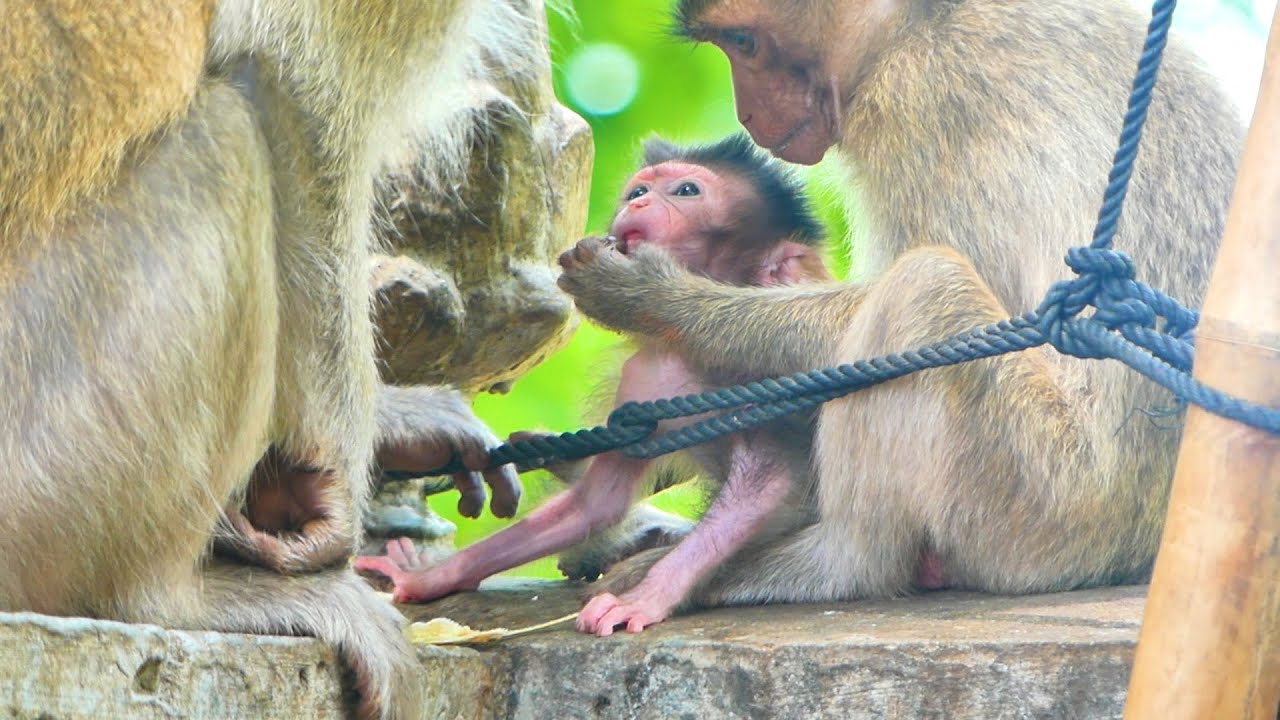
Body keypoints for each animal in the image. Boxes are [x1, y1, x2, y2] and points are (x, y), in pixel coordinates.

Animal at [0, 2, 526, 717]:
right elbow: (296, 89)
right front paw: (331, 497)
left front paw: (397, 423)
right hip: (45, 461)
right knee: (224, 138)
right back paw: (163, 599)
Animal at [355, 134, 837, 629]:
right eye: (638, 190)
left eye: (686, 191)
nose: (640, 202)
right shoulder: (644, 375)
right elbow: (596, 503)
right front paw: (429, 578)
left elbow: (765, 480)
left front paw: (647, 596)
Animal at [541, 0, 1245, 635]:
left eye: (744, 41)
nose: (746, 111)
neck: (917, 20)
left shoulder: (924, 97)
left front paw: (649, 297)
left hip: (1046, 503)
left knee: (923, 286)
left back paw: (822, 565)